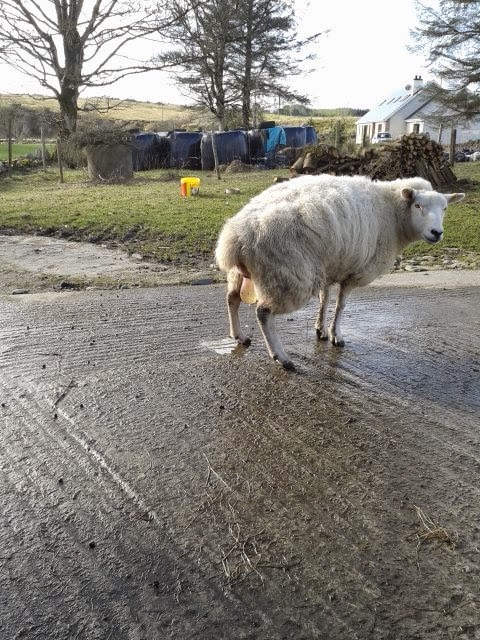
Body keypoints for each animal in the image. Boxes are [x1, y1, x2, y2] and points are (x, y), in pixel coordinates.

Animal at [215, 174, 465, 370]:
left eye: (445, 208)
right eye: (418, 206)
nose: (437, 233)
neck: (390, 213)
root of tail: (235, 237)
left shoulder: (328, 267)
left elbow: (325, 300)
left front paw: (321, 330)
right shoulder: (355, 273)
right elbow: (340, 305)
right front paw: (337, 335)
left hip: (242, 273)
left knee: (232, 299)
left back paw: (240, 336)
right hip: (287, 275)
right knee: (263, 313)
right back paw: (281, 357)